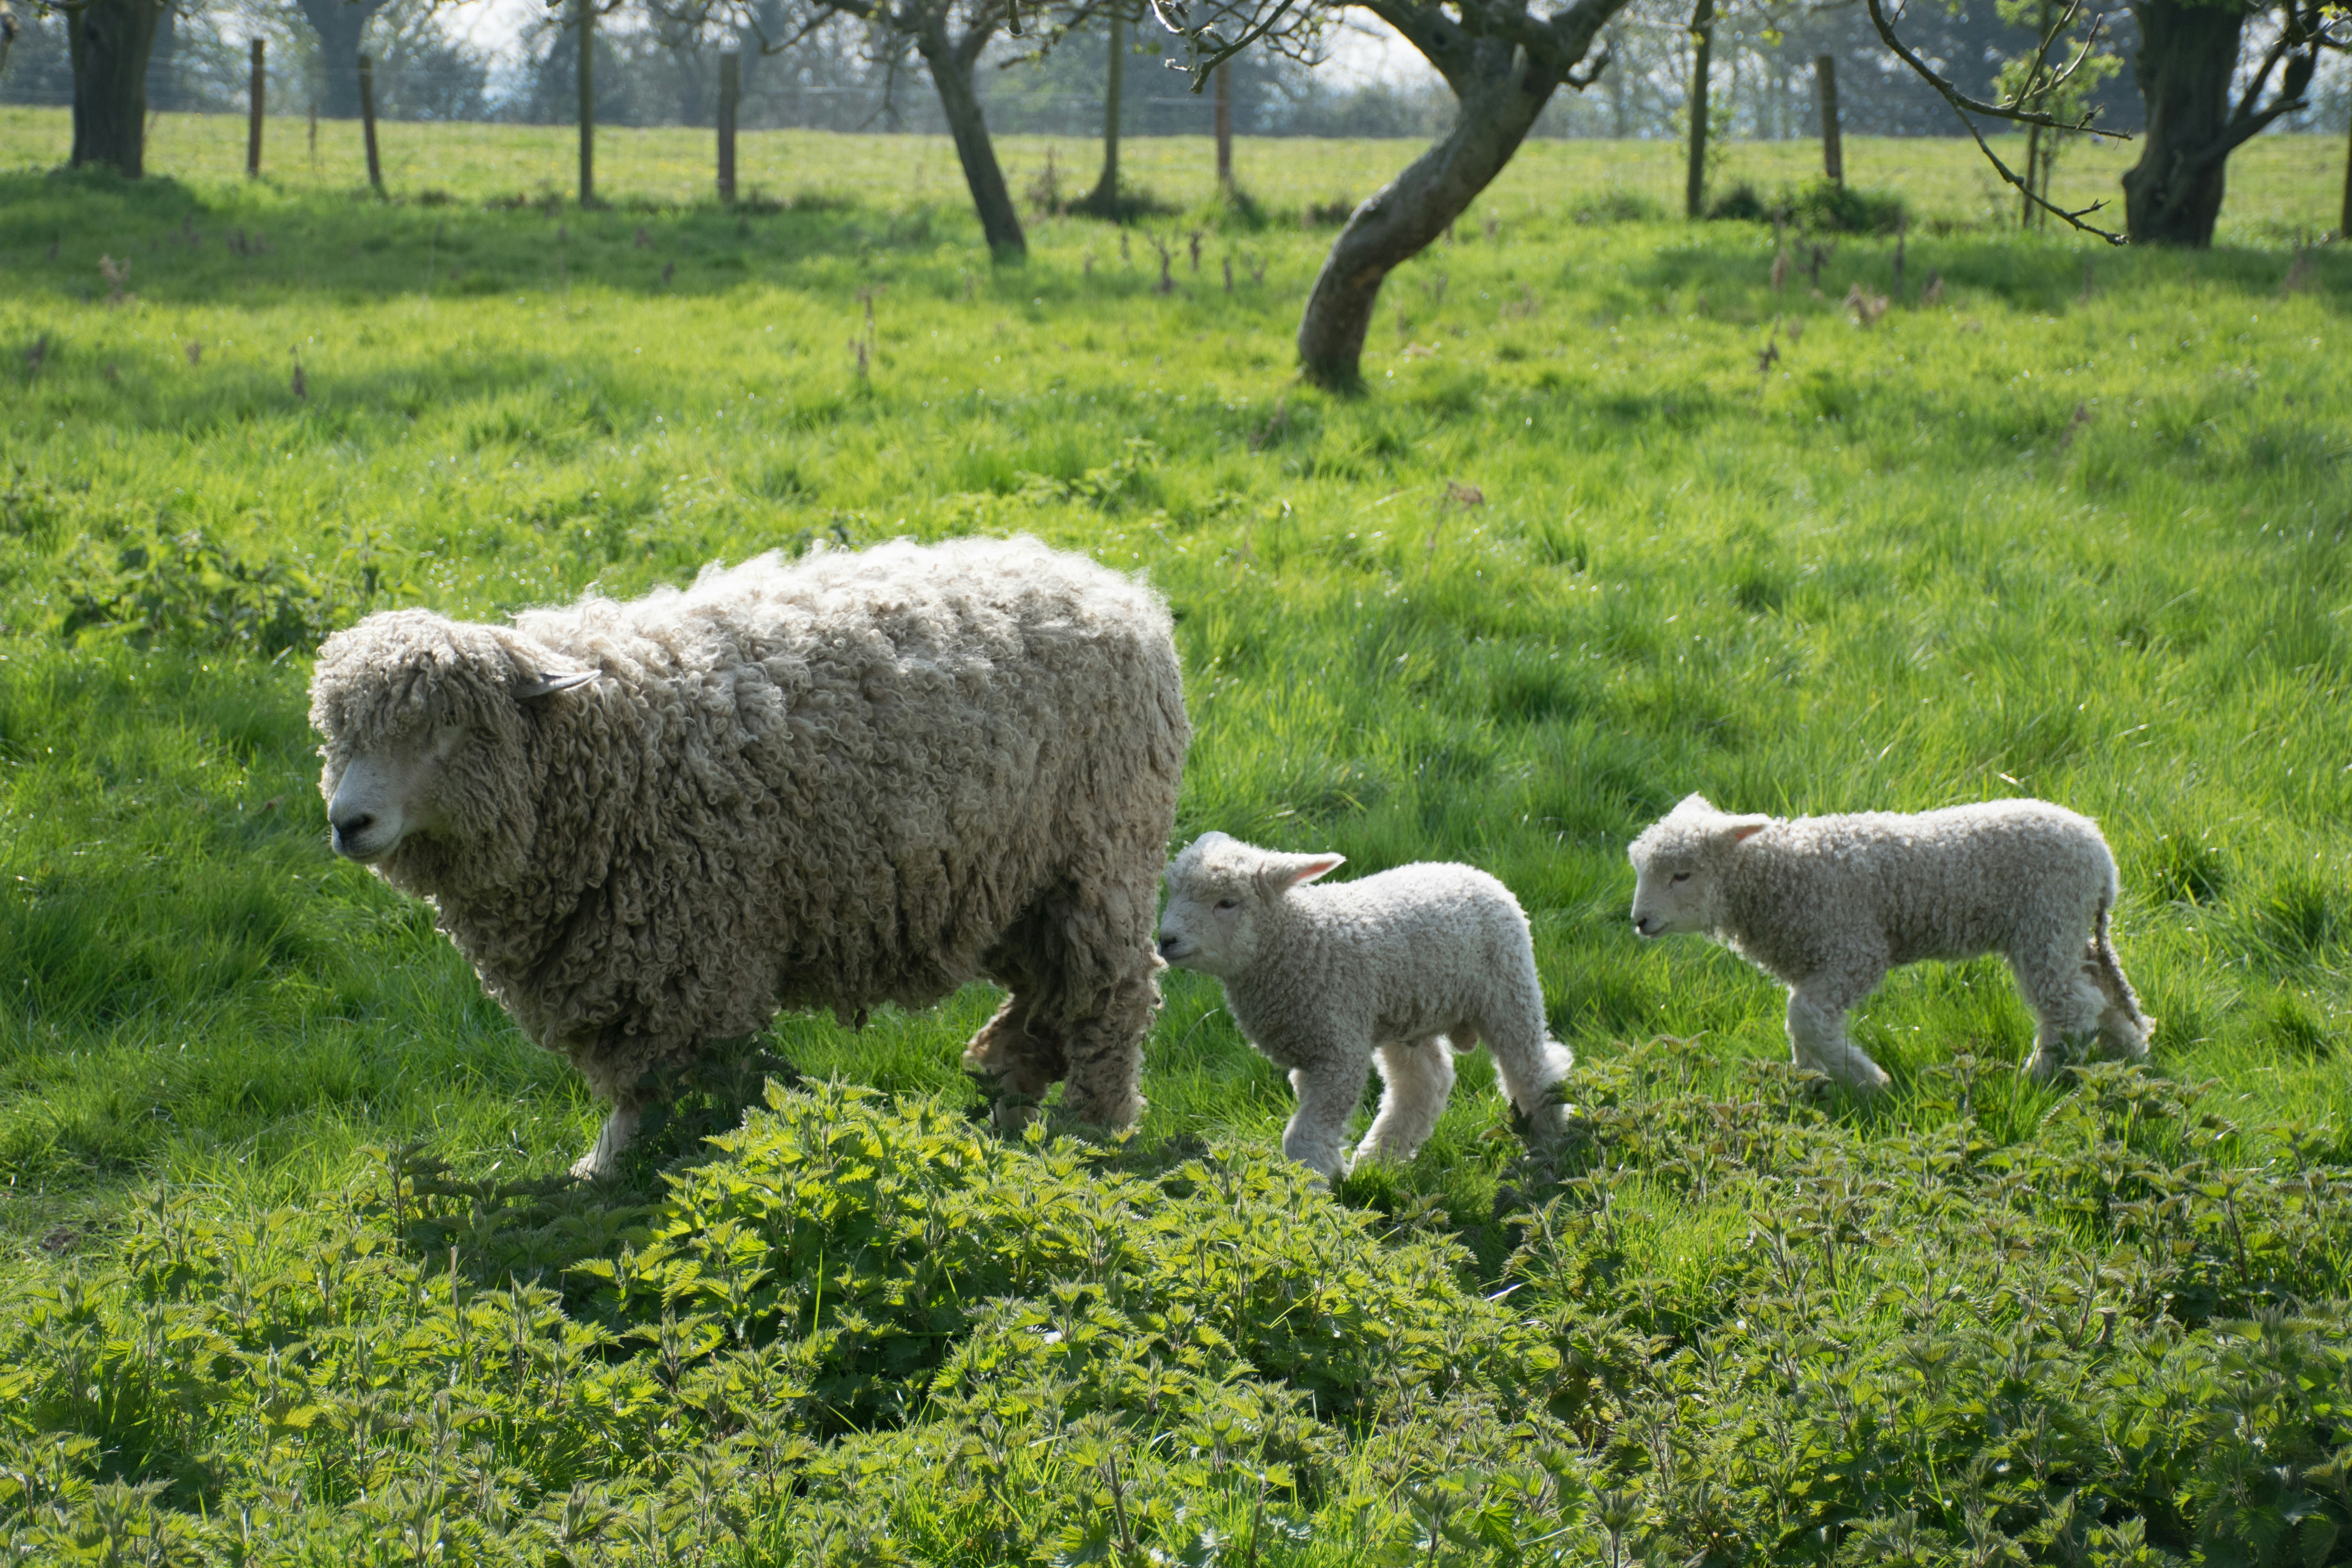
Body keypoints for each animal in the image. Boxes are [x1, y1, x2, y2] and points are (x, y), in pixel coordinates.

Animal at [309, 536, 1190, 1179]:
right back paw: (1007, 1098)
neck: (612, 747)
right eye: (336, 734)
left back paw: (1091, 1127)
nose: (348, 822)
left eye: (444, 731)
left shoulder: (681, 955)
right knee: (1048, 994)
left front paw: (618, 1169)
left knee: (1110, 996)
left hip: (1098, 859)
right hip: (1010, 879)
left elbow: (656, 1085)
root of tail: (1121, 593)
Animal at [1154, 832, 1573, 1178]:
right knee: (1423, 1082)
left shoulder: (1337, 1052)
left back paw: (1549, 1146)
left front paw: (1309, 1191)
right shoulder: (1312, 1053)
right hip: (1407, 1013)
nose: (1165, 940)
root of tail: (1474, 872)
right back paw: (1378, 1159)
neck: (1298, 941)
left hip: (1509, 987)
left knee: (1531, 1070)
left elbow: (1304, 1137)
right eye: (1172, 893)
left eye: (1227, 902)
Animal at [1627, 793, 2152, 1090]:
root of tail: (2103, 858)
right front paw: (1813, 1082)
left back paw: (2038, 1075)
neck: (1777, 874)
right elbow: (1804, 1027)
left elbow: (1804, 1017)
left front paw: (1867, 1079)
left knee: (2072, 1004)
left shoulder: (1855, 951)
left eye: (1682, 874)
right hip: (2068, 929)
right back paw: (2126, 1054)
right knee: (2102, 992)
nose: (1640, 921)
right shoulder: (1810, 961)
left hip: (2046, 921)